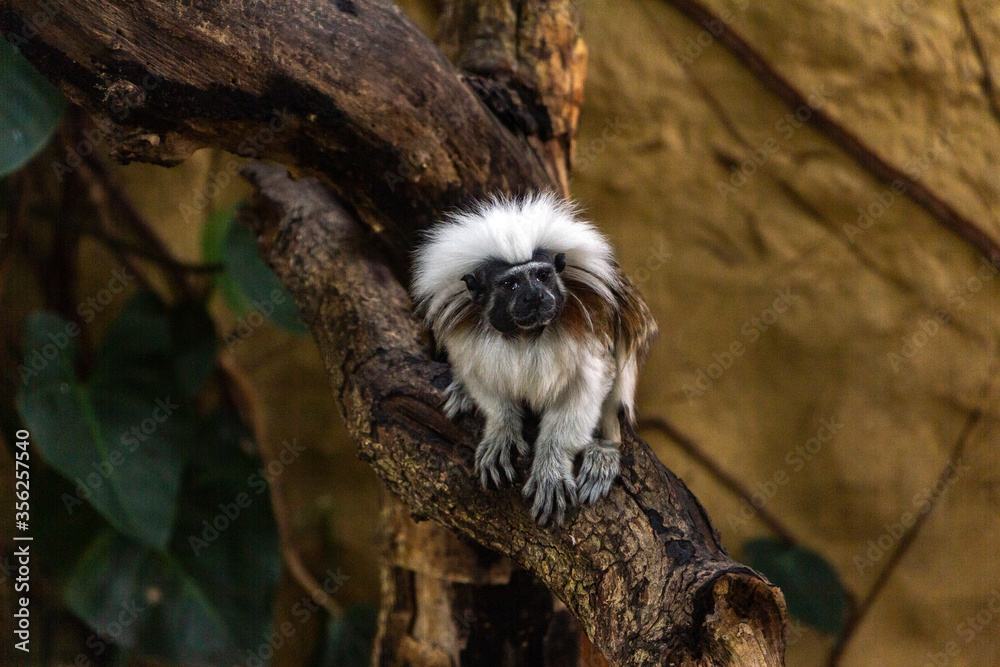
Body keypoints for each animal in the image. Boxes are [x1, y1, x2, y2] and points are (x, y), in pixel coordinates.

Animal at [411, 193, 657, 525]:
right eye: (511, 284)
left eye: (542, 276)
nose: (536, 296)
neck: (527, 336)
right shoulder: (468, 338)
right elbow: (481, 379)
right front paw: (501, 430)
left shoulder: (590, 331)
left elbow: (587, 389)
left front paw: (551, 467)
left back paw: (606, 447)